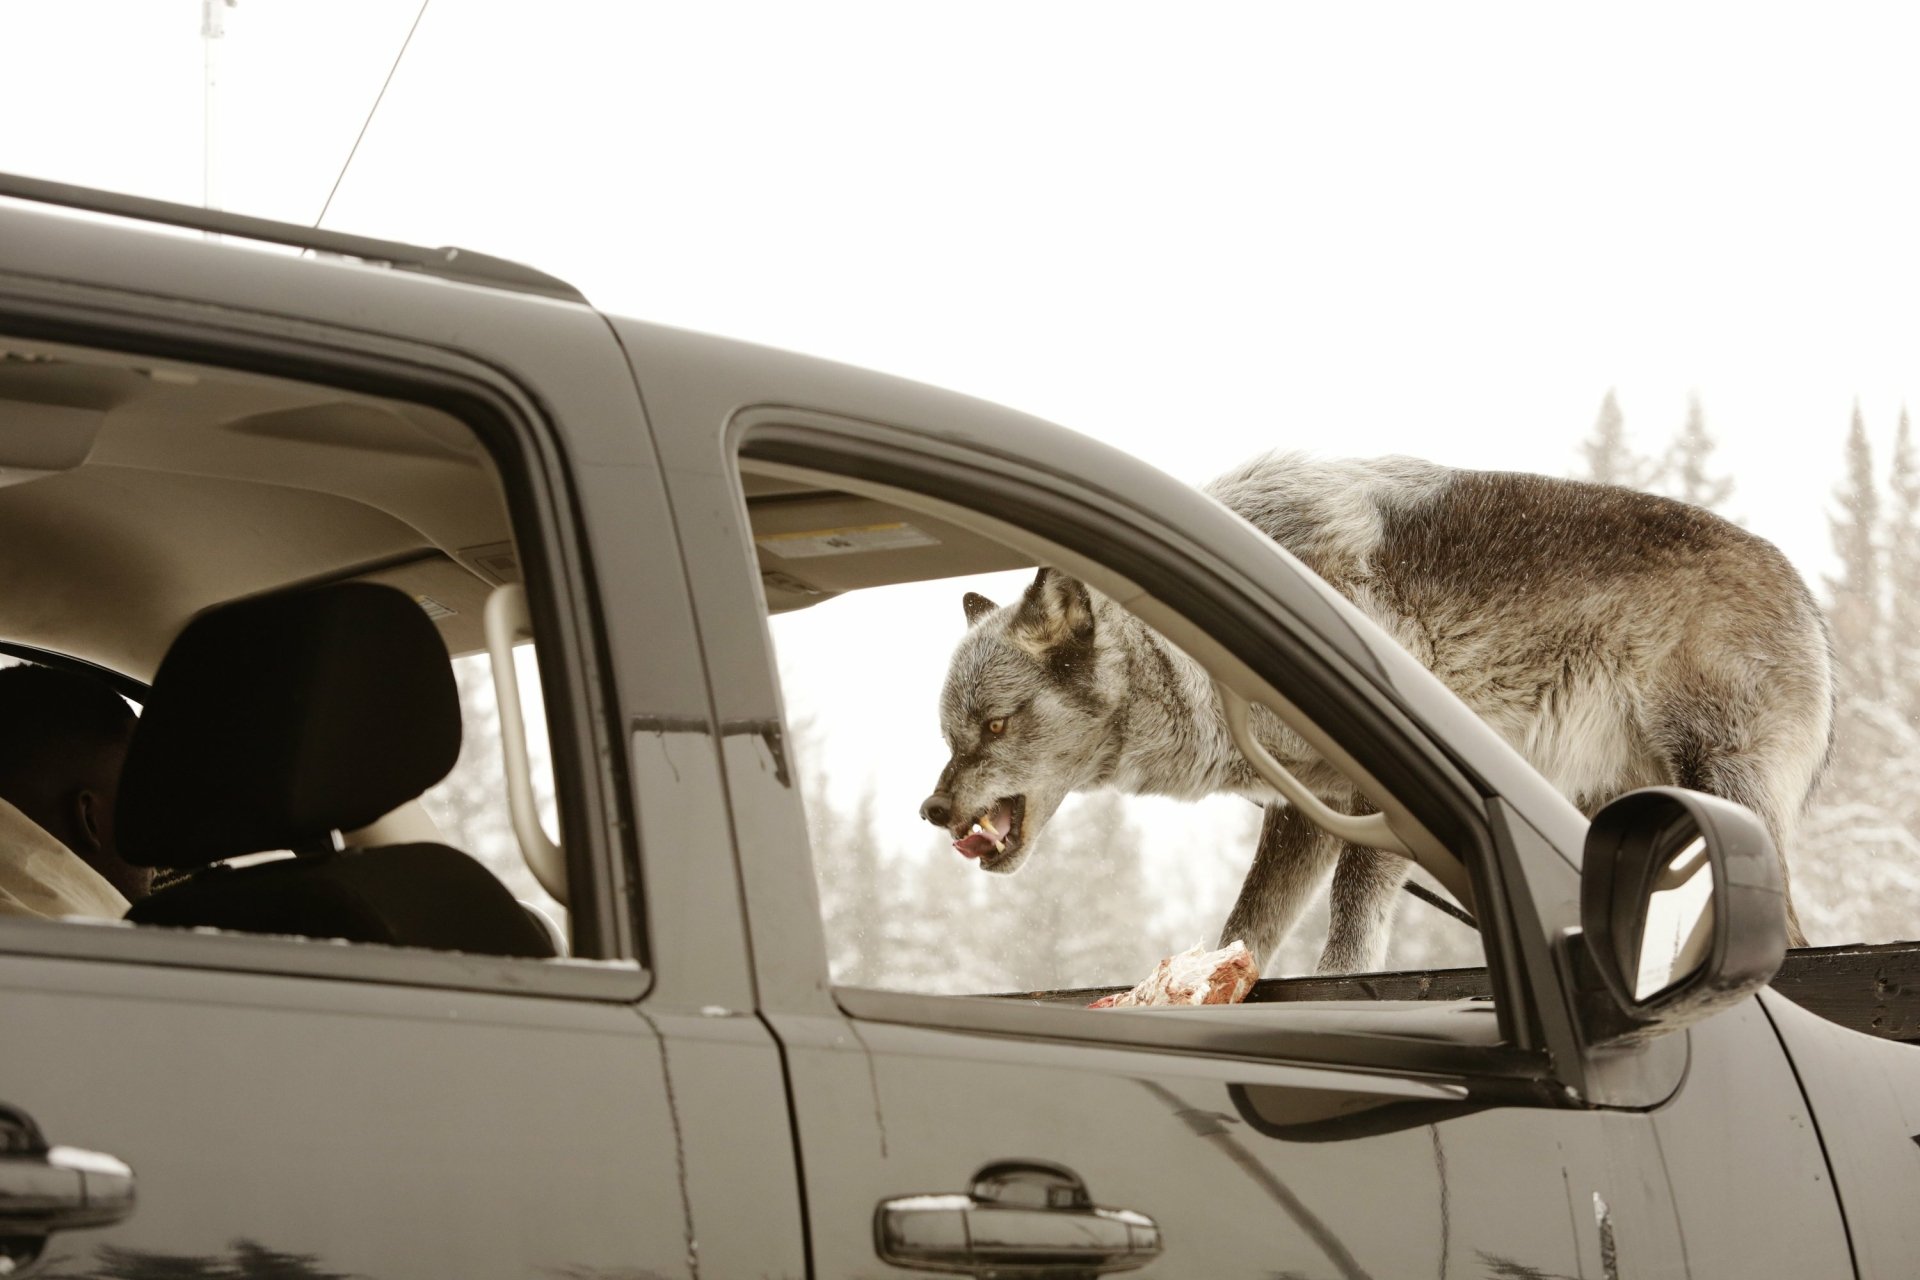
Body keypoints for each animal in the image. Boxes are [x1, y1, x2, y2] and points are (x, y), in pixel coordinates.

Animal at [917, 453, 1831, 974]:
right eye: (953, 734)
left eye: (996, 726)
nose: (932, 808)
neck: (1201, 674)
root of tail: (1804, 592)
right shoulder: (1304, 810)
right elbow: (1247, 926)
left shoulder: (1367, 802)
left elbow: (1350, 926)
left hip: (1716, 788)